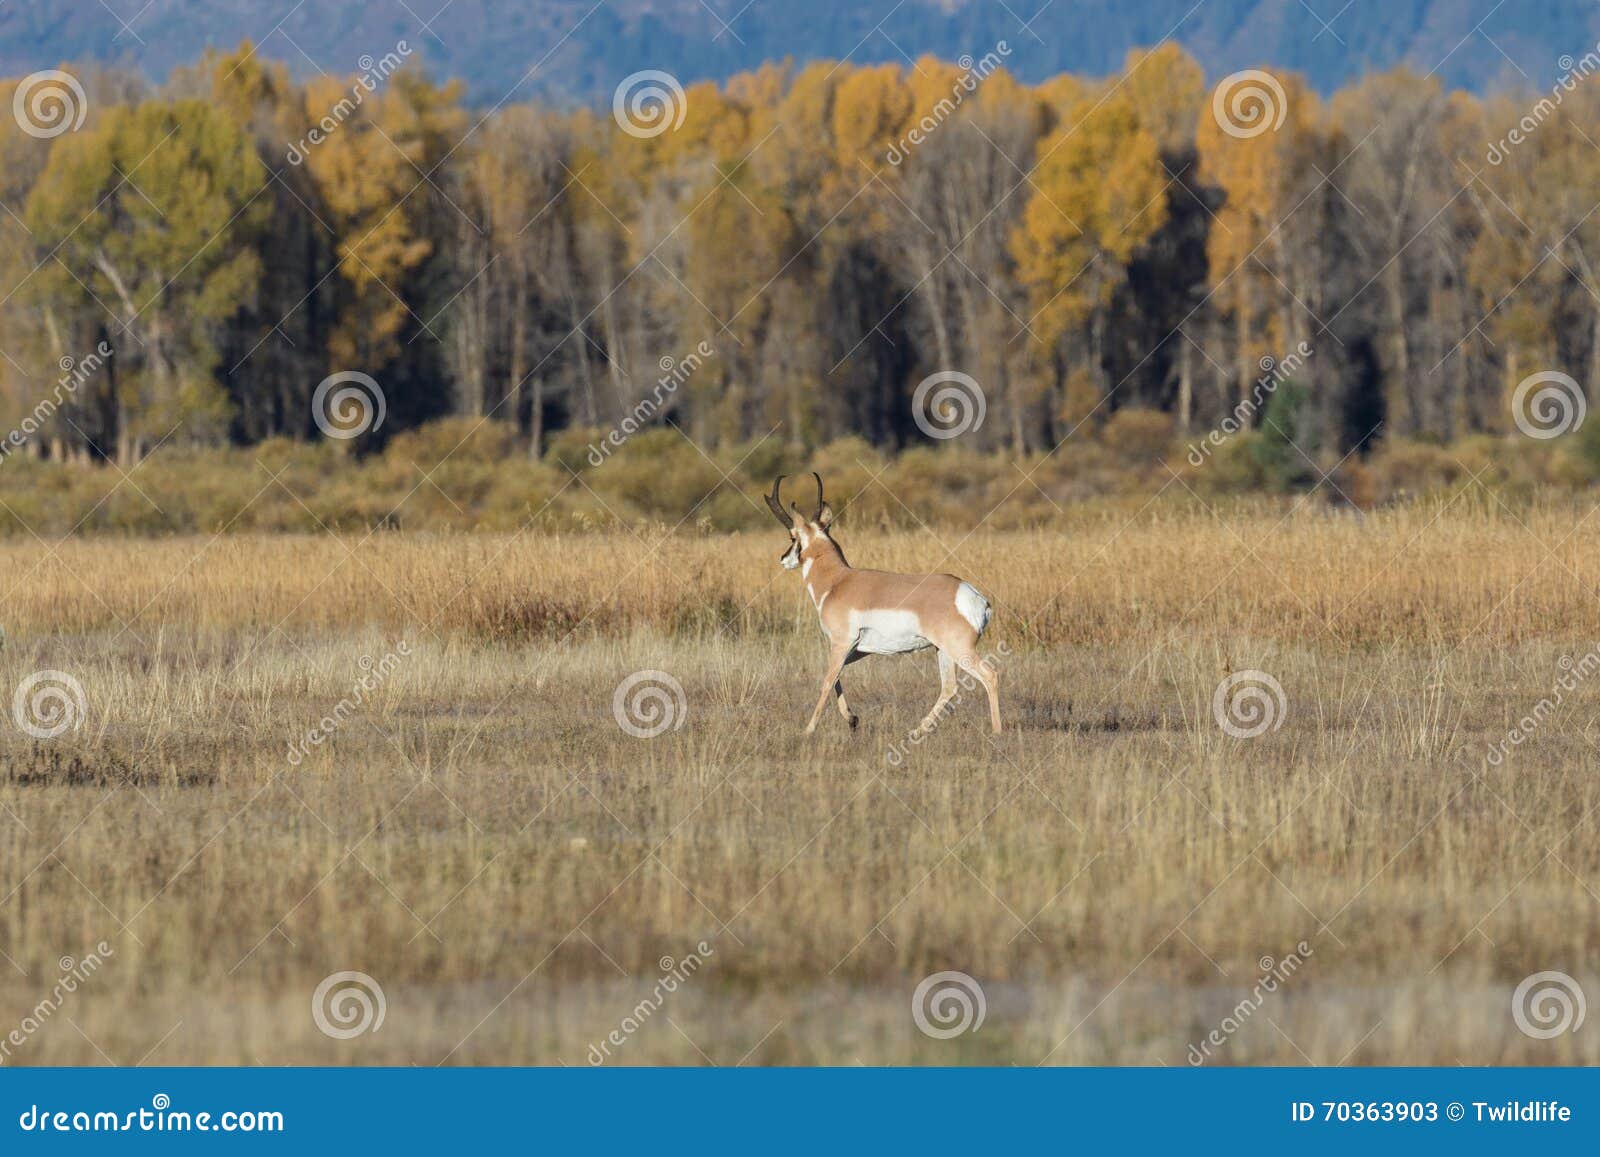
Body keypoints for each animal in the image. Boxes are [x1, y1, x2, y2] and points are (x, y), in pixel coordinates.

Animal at [764, 473, 1001, 736]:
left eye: (792, 536)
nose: (783, 559)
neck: (838, 581)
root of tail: (974, 596)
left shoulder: (841, 643)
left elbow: (827, 681)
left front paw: (808, 730)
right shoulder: (858, 649)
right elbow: (837, 677)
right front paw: (852, 719)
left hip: (960, 650)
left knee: (990, 675)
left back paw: (997, 732)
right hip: (943, 650)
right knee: (949, 688)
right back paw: (917, 731)